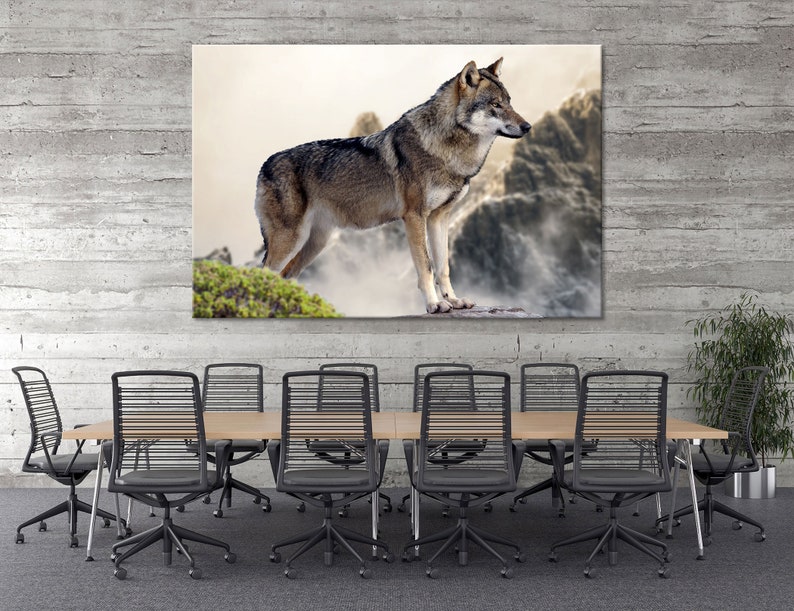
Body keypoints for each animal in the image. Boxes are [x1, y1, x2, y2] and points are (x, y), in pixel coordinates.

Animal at [254, 58, 531, 314]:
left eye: (509, 102)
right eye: (495, 105)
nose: (527, 127)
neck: (446, 149)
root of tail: (263, 165)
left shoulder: (439, 218)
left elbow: (443, 266)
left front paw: (453, 300)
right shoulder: (415, 216)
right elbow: (426, 266)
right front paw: (434, 304)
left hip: (314, 244)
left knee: (285, 276)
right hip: (291, 239)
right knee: (263, 273)